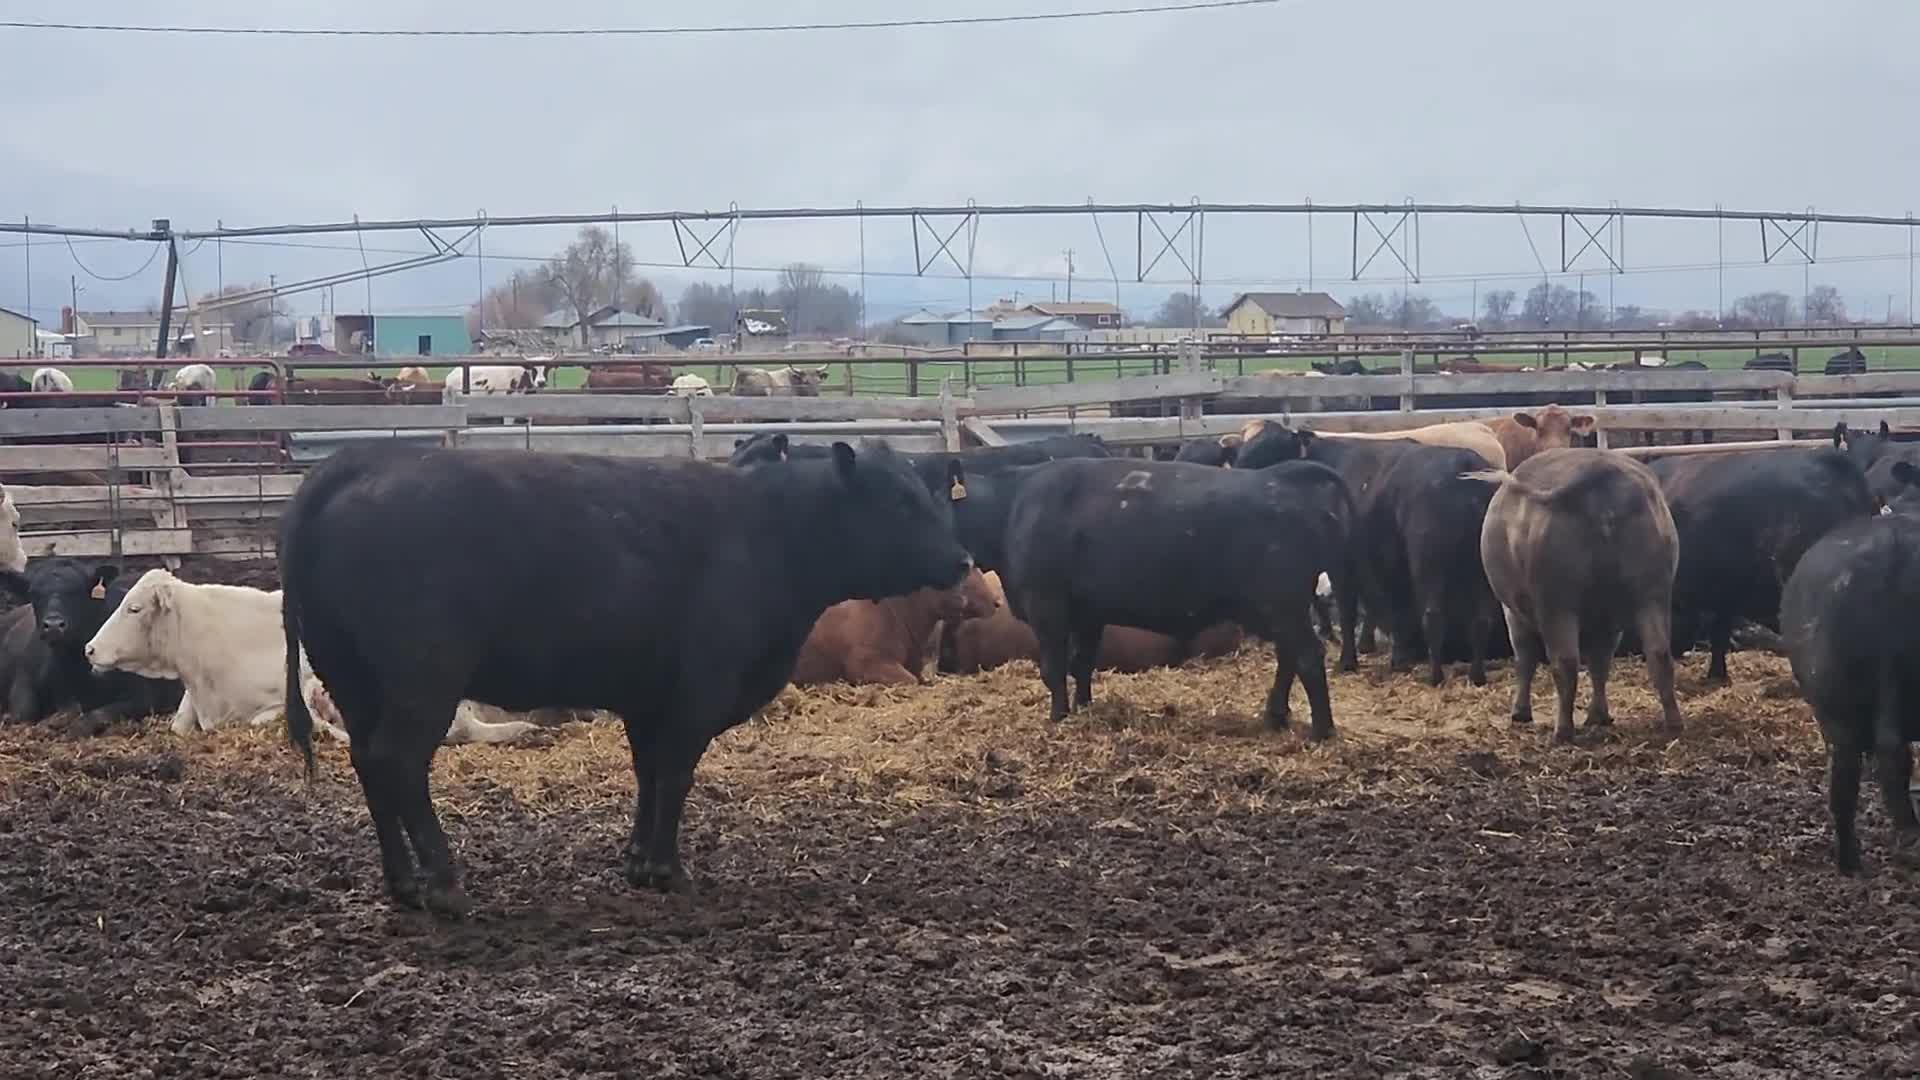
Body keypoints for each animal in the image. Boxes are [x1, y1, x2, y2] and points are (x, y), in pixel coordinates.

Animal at [278, 439, 973, 915]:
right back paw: (445, 882)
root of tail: (364, 460)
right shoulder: (699, 691)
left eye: (932, 496)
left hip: (353, 678)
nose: (963, 559)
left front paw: (639, 862)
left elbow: (648, 774)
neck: (771, 532)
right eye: (900, 502)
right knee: (397, 761)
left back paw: (402, 881)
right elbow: (675, 773)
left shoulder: (648, 696)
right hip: (423, 679)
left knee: (370, 764)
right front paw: (668, 870)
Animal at [1000, 458, 1352, 736]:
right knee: (1289, 656)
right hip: (1278, 610)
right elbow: (1082, 663)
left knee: (1308, 656)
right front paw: (1084, 708)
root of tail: (1287, 474)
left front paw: (1058, 717)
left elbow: (1054, 668)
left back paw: (1322, 731)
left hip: (1280, 606)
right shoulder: (1089, 614)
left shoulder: (1045, 605)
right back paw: (1275, 717)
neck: (1016, 501)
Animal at [1472, 448, 1684, 743]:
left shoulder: (1513, 611)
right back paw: (1673, 722)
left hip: (1557, 603)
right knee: (1659, 654)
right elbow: (1600, 661)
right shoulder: (1608, 622)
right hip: (1652, 595)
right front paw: (1599, 715)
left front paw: (1520, 712)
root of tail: (1600, 474)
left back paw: (1562, 731)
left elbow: (1525, 656)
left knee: (1565, 663)